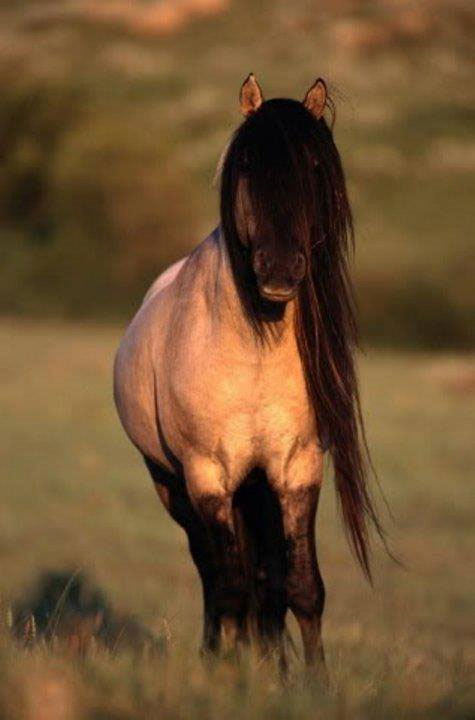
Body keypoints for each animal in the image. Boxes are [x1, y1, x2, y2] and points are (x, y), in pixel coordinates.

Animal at [113, 74, 384, 672]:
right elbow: (231, 587)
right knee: (215, 576)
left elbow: (301, 587)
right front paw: (227, 675)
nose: (279, 270)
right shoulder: (207, 477)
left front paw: (307, 681)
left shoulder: (297, 469)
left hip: (256, 487)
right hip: (174, 487)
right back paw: (220, 653)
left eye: (313, 165)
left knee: (263, 580)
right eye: (244, 166)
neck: (254, 352)